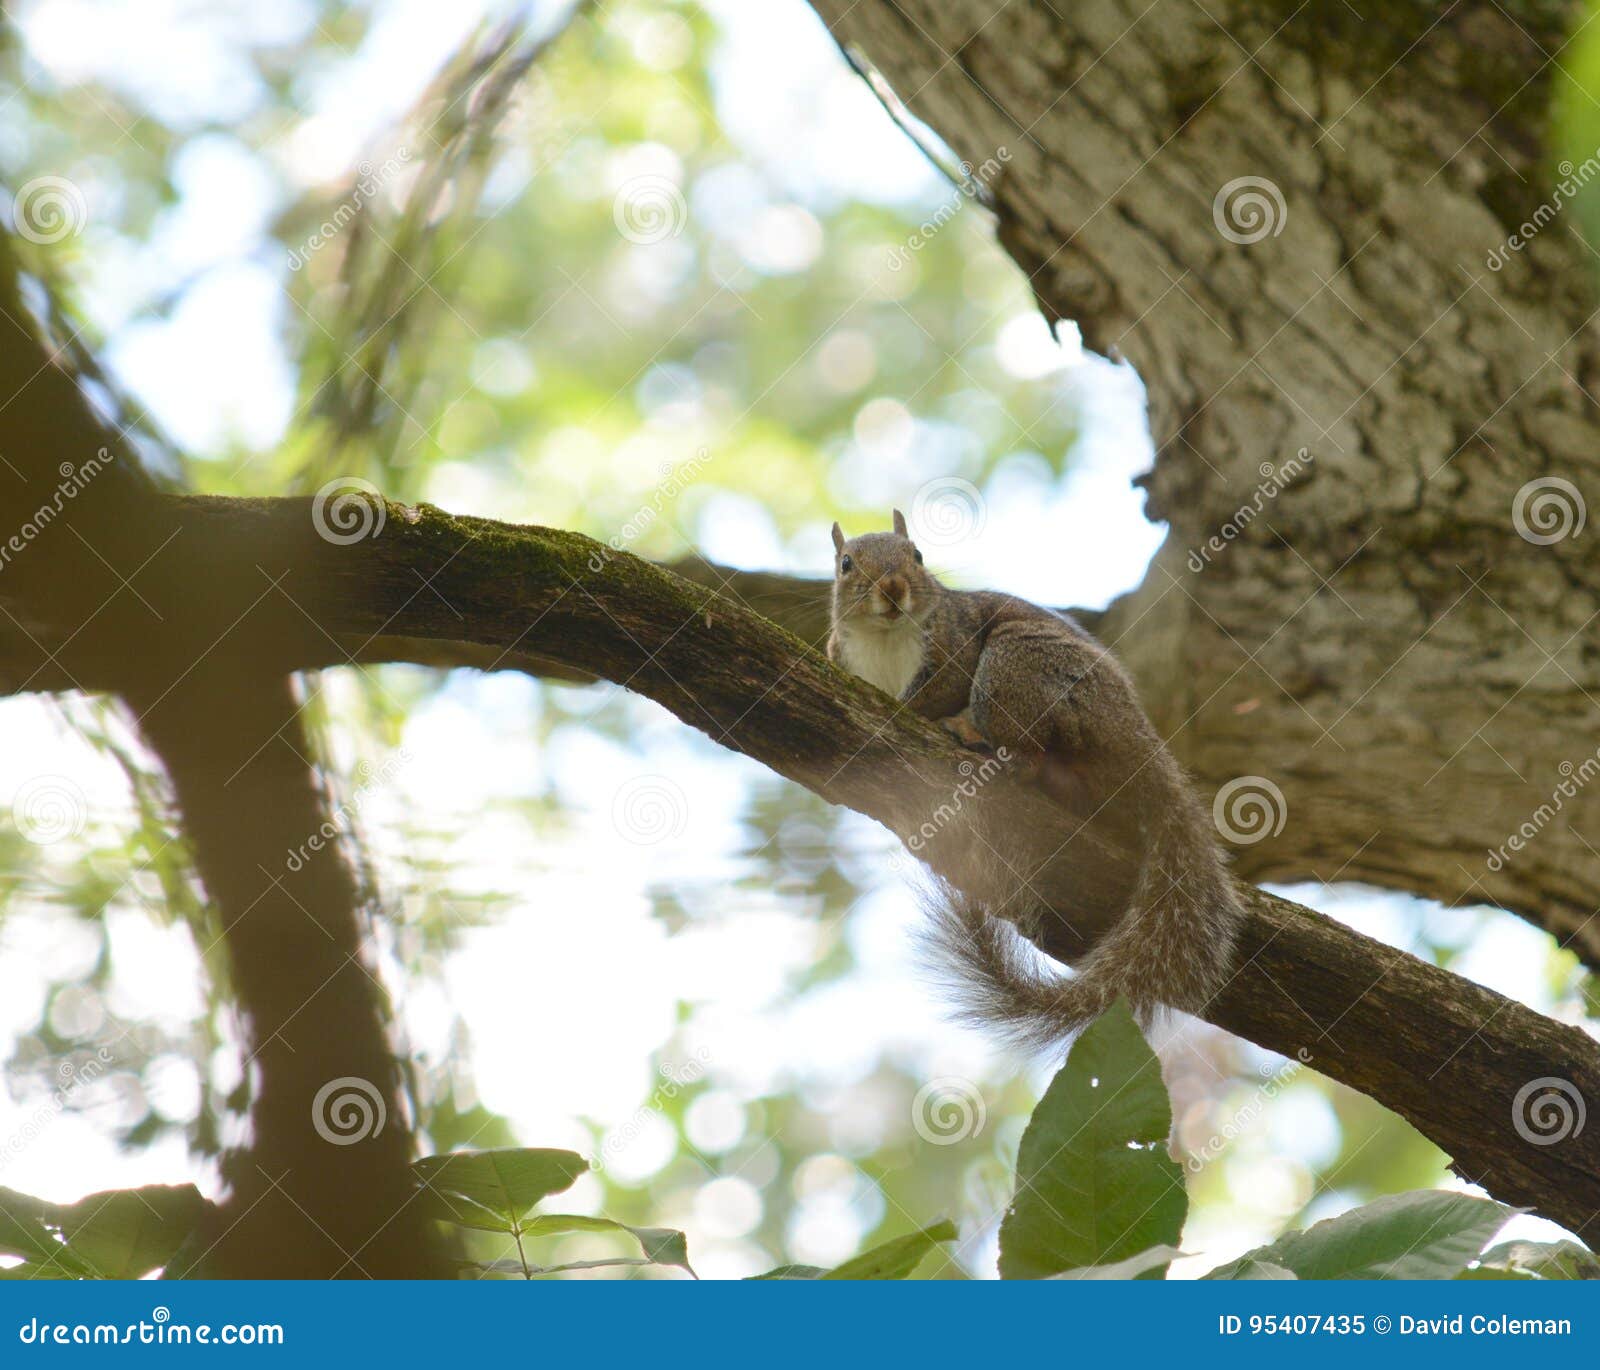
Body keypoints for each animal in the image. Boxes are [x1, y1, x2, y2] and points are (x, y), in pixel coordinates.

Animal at [826, 509, 1243, 1049]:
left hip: (1016, 663)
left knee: (1025, 749)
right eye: (845, 564)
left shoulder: (956, 645)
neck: (883, 640)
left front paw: (915, 709)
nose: (894, 587)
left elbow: (938, 689)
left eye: (917, 555)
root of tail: (1136, 734)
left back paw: (979, 739)